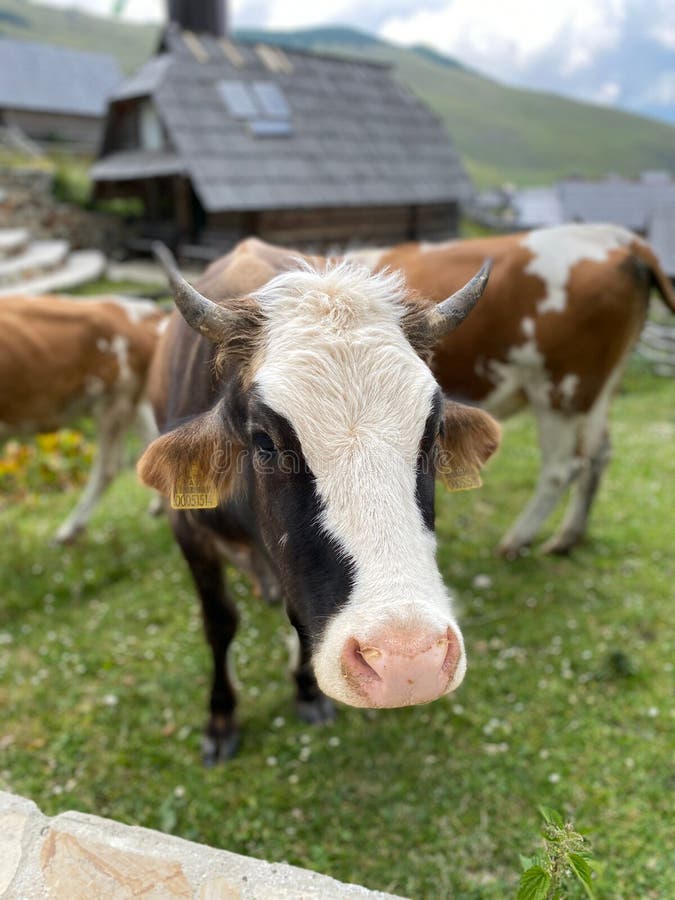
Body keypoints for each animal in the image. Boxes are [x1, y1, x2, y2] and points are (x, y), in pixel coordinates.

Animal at [138, 246, 501, 763]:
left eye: (432, 434)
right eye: (265, 443)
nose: (407, 661)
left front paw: (306, 690)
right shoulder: (188, 531)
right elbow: (219, 623)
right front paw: (221, 718)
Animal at [194, 224, 675, 558]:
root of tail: (620, 238)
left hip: (557, 389)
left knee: (563, 467)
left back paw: (516, 540)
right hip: (597, 388)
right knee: (599, 455)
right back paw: (567, 537)